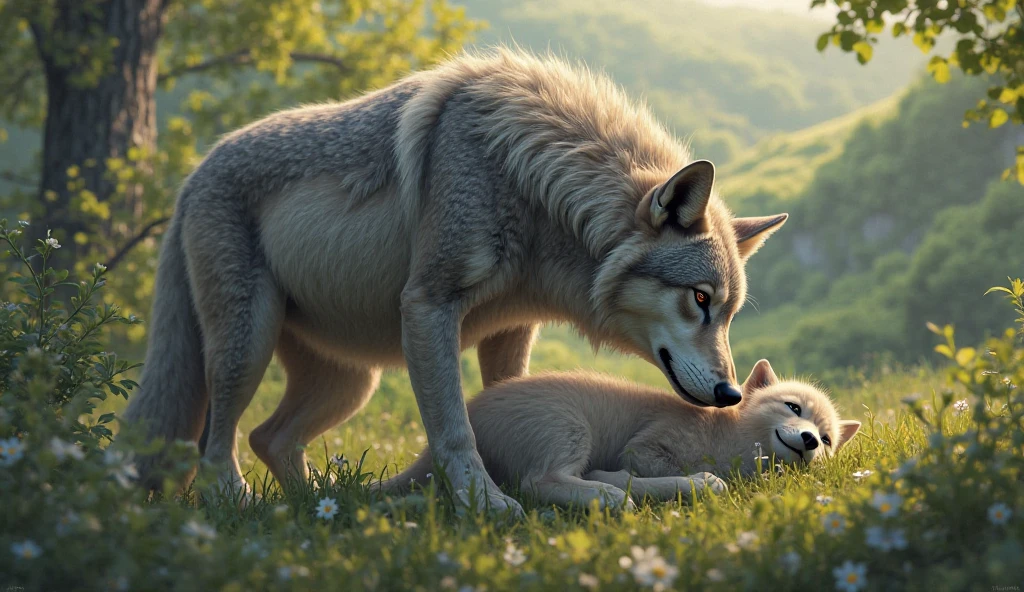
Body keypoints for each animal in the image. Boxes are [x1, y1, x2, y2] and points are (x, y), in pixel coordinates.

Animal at [121, 48, 788, 514]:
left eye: (728, 313)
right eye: (699, 300)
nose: (731, 393)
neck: (528, 179)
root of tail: (190, 178)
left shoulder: (512, 332)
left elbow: (506, 404)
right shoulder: (427, 307)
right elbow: (455, 431)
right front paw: (485, 505)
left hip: (349, 383)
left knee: (268, 437)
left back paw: (323, 504)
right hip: (249, 347)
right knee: (213, 444)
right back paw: (237, 505)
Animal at [383, 360, 861, 509]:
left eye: (828, 439)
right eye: (793, 408)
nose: (810, 440)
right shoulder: (647, 447)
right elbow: (675, 474)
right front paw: (697, 482)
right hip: (566, 424)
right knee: (536, 482)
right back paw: (607, 495)